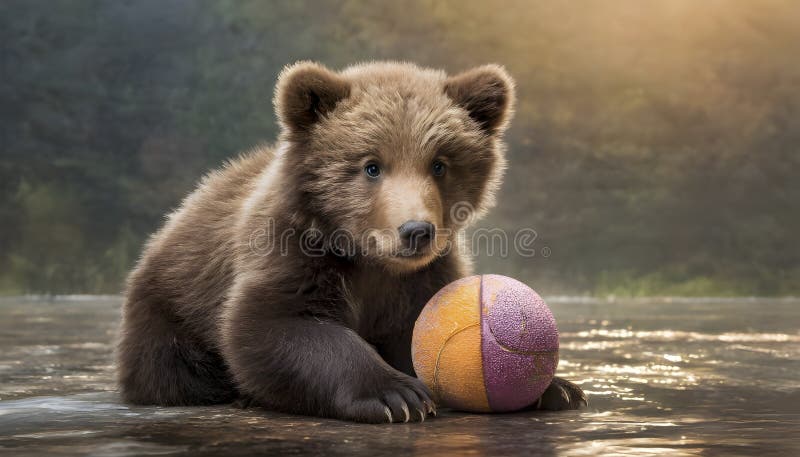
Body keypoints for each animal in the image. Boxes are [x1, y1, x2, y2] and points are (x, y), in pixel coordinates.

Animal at [116, 61, 586, 423]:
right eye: (372, 165)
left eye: (439, 164)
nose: (416, 230)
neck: (369, 259)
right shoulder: (291, 252)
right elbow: (275, 324)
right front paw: (397, 394)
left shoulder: (423, 278)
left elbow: (414, 332)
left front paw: (557, 388)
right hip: (168, 309)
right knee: (171, 368)